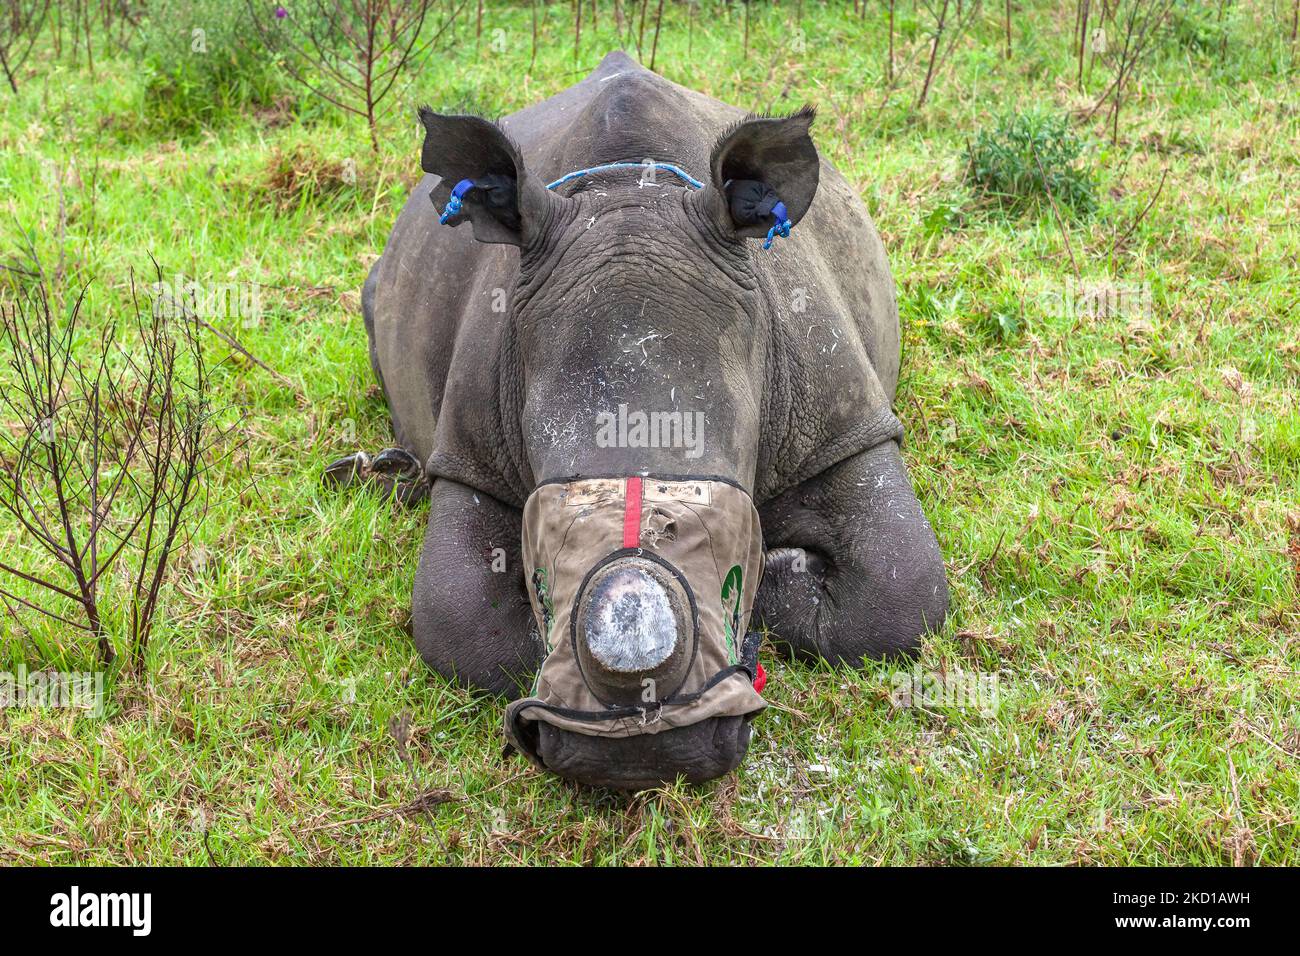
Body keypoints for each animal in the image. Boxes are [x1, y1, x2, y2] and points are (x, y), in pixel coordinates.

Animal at [330, 51, 948, 789]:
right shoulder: (470, 454)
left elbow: (904, 589)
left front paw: (781, 568)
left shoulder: (845, 424)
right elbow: (454, 616)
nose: (640, 758)